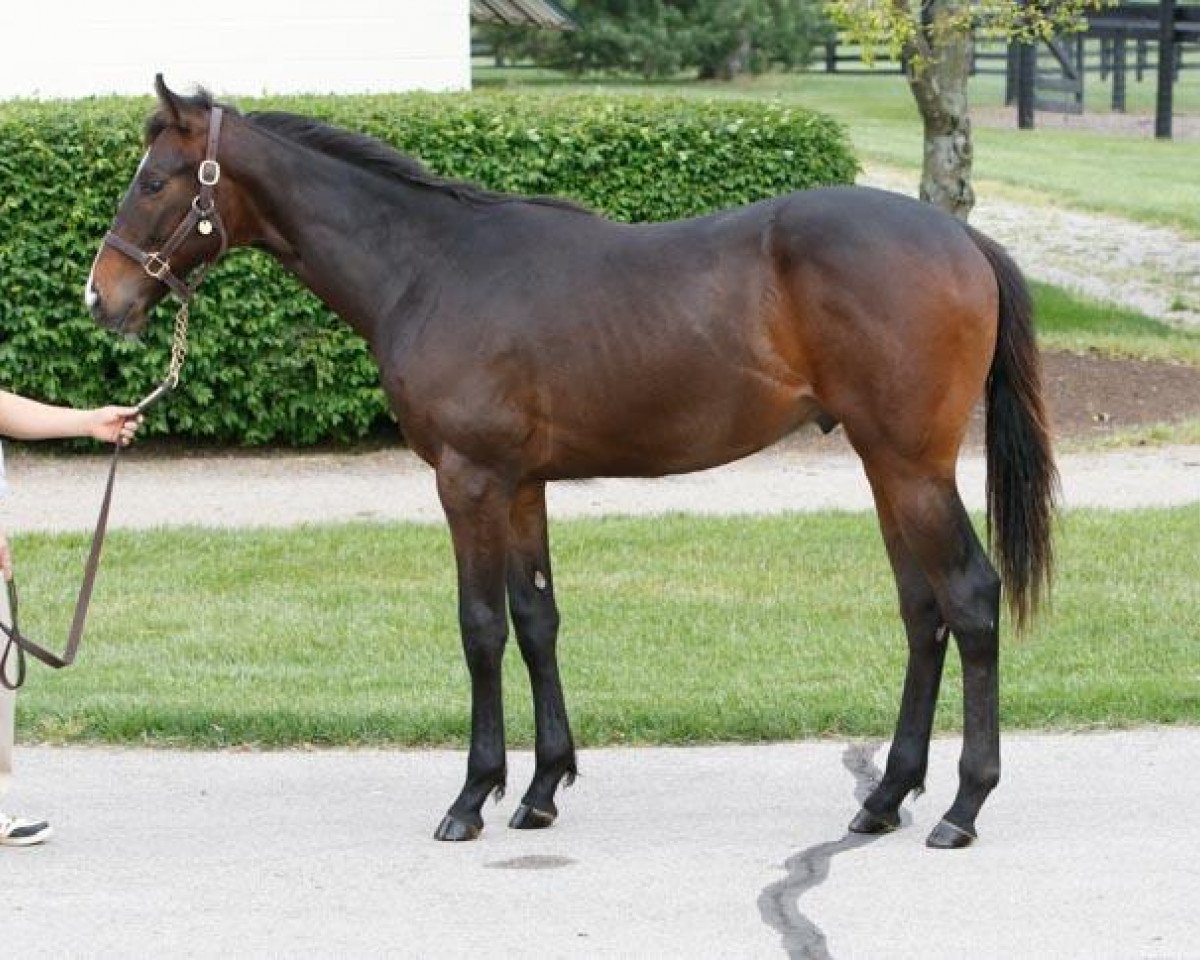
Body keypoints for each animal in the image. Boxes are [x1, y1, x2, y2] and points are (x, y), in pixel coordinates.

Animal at [87, 77, 1056, 848]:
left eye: (155, 179)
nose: (103, 298)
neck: (431, 267)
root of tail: (963, 241)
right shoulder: (520, 487)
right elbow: (536, 619)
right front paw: (543, 787)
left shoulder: (468, 481)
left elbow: (481, 627)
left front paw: (473, 796)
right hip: (884, 467)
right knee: (922, 611)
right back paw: (886, 798)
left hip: (912, 467)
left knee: (970, 598)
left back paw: (961, 807)